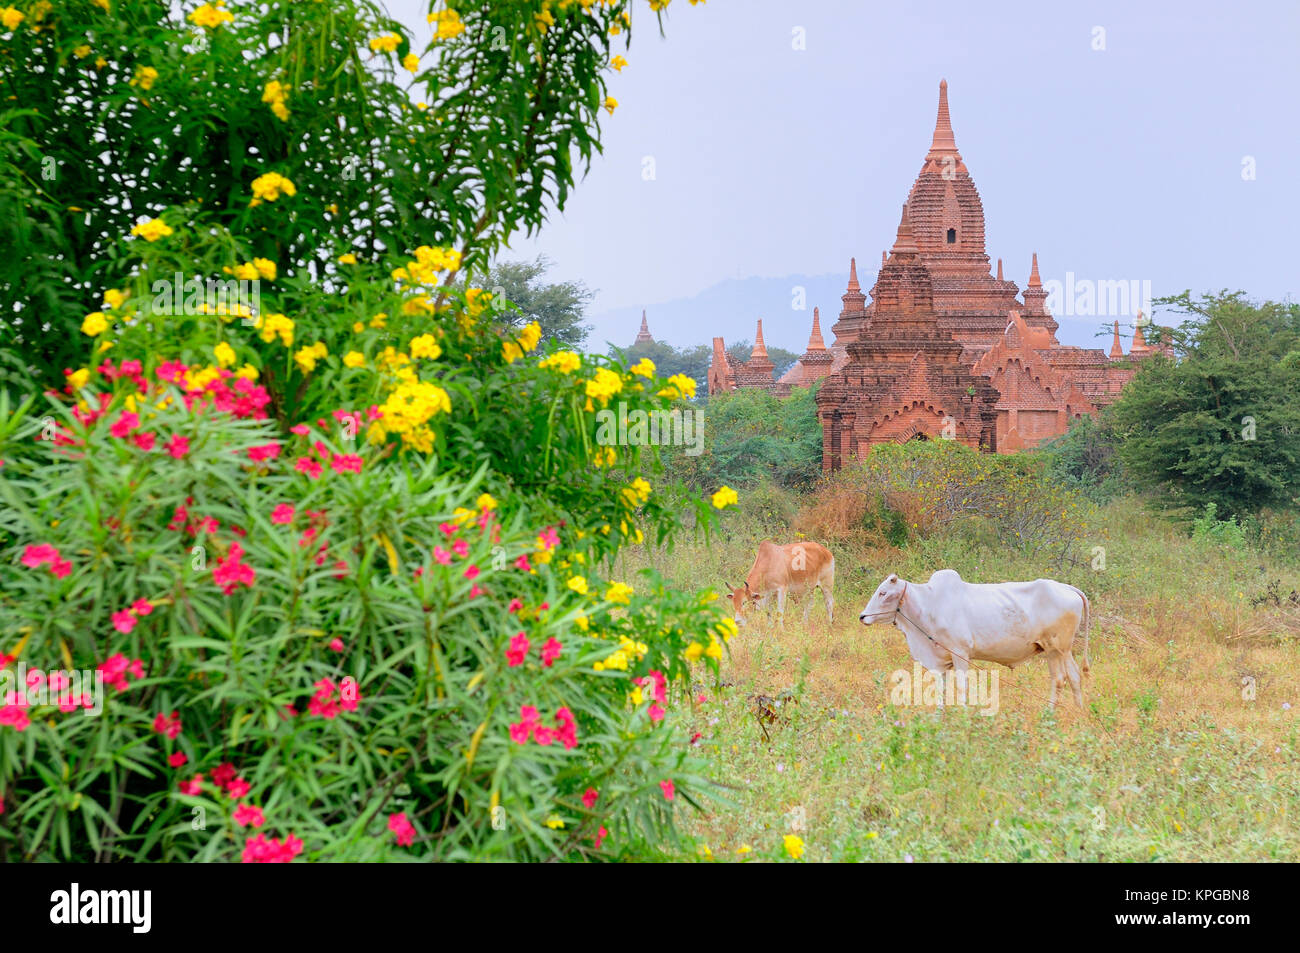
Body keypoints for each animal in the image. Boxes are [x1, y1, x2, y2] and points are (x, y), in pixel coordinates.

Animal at [858, 569, 1091, 710]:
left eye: (883, 593)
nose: (863, 616)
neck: (929, 604)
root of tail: (1067, 587)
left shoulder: (960, 653)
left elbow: (961, 687)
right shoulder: (941, 662)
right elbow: (941, 690)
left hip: (1059, 649)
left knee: (1066, 677)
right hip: (1055, 650)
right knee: (1066, 678)